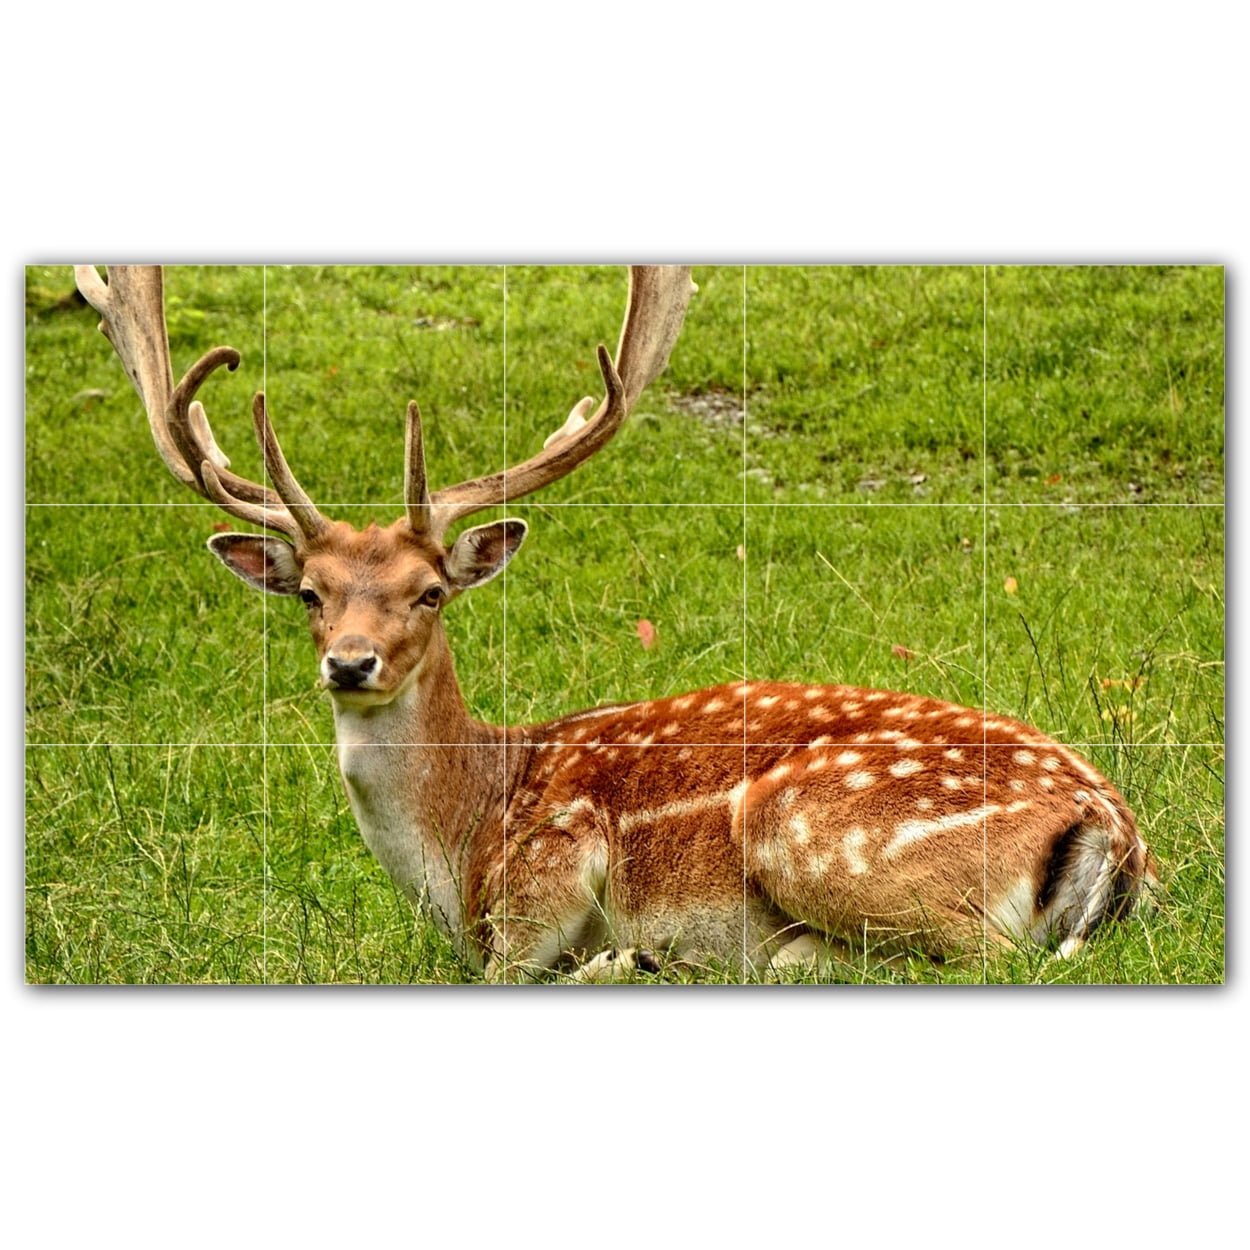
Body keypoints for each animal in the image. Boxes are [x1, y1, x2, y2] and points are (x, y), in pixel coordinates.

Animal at [74, 263, 1156, 981]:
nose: (350, 662)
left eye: (430, 590)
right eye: (311, 591)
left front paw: (620, 956)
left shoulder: (549, 866)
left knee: (984, 956)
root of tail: (1114, 827)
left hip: (809, 830)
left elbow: (520, 960)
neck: (462, 837)